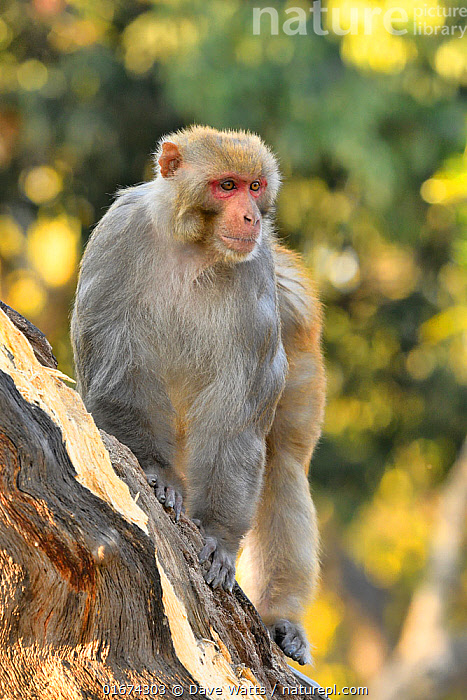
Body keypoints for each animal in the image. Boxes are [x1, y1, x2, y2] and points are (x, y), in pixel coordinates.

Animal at [71, 126, 325, 665]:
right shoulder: (117, 238)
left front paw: (217, 537)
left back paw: (282, 617)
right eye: (226, 186)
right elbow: (115, 370)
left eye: (254, 186)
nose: (251, 217)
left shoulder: (256, 277)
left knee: (283, 461)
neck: (194, 247)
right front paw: (159, 475)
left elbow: (236, 419)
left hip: (299, 341)